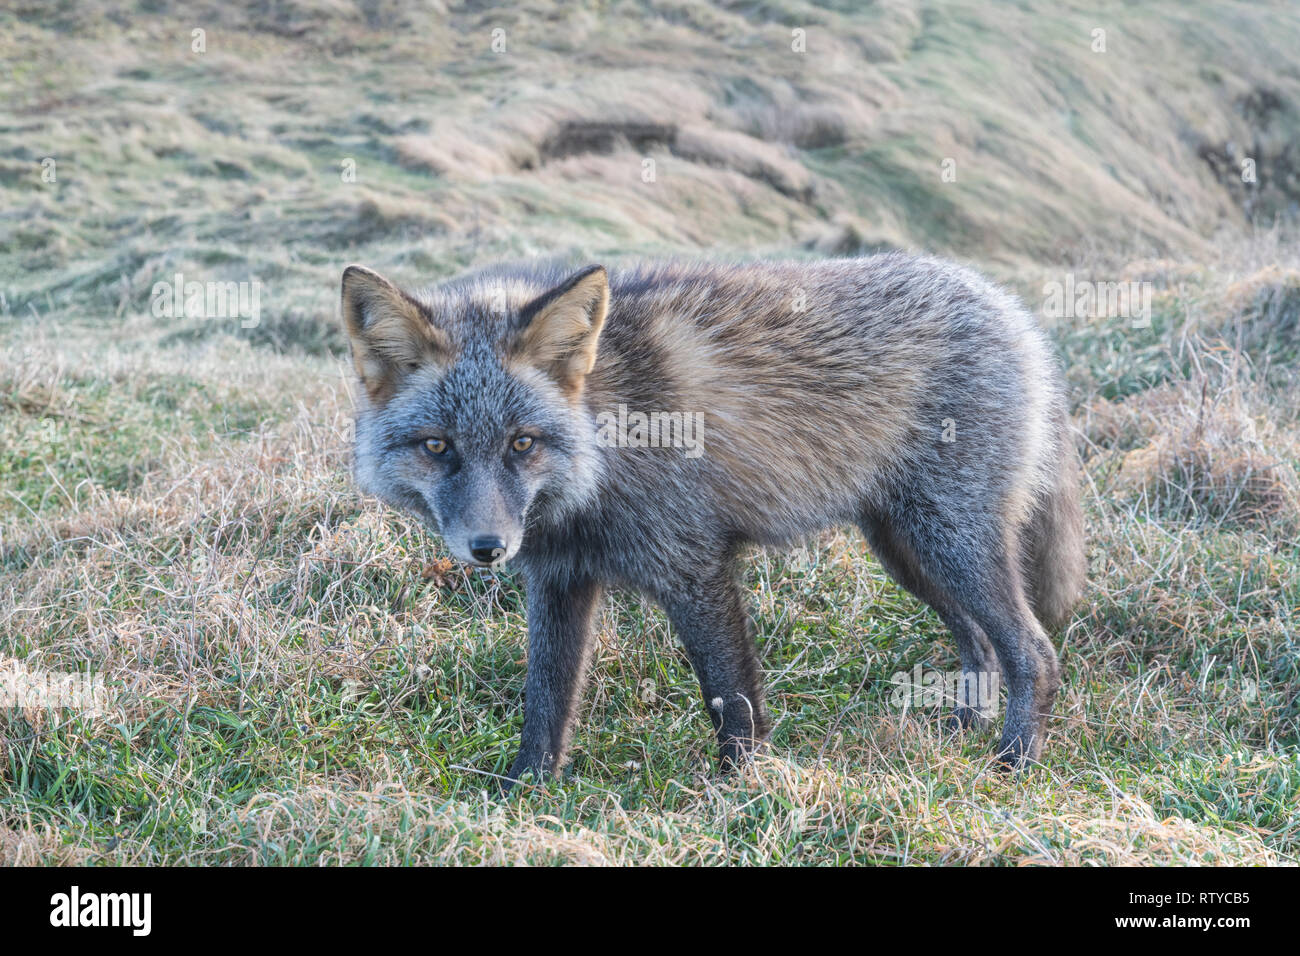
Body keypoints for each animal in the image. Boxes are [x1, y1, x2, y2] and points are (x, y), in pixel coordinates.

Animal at [340, 254, 1086, 787]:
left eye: (522, 443)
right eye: (438, 446)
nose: (487, 548)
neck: (606, 453)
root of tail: (1012, 311)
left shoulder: (694, 565)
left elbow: (731, 698)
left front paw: (741, 793)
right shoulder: (559, 581)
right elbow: (545, 702)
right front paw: (524, 792)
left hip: (949, 542)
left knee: (1035, 652)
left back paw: (1013, 764)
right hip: (907, 552)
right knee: (981, 644)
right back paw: (962, 730)